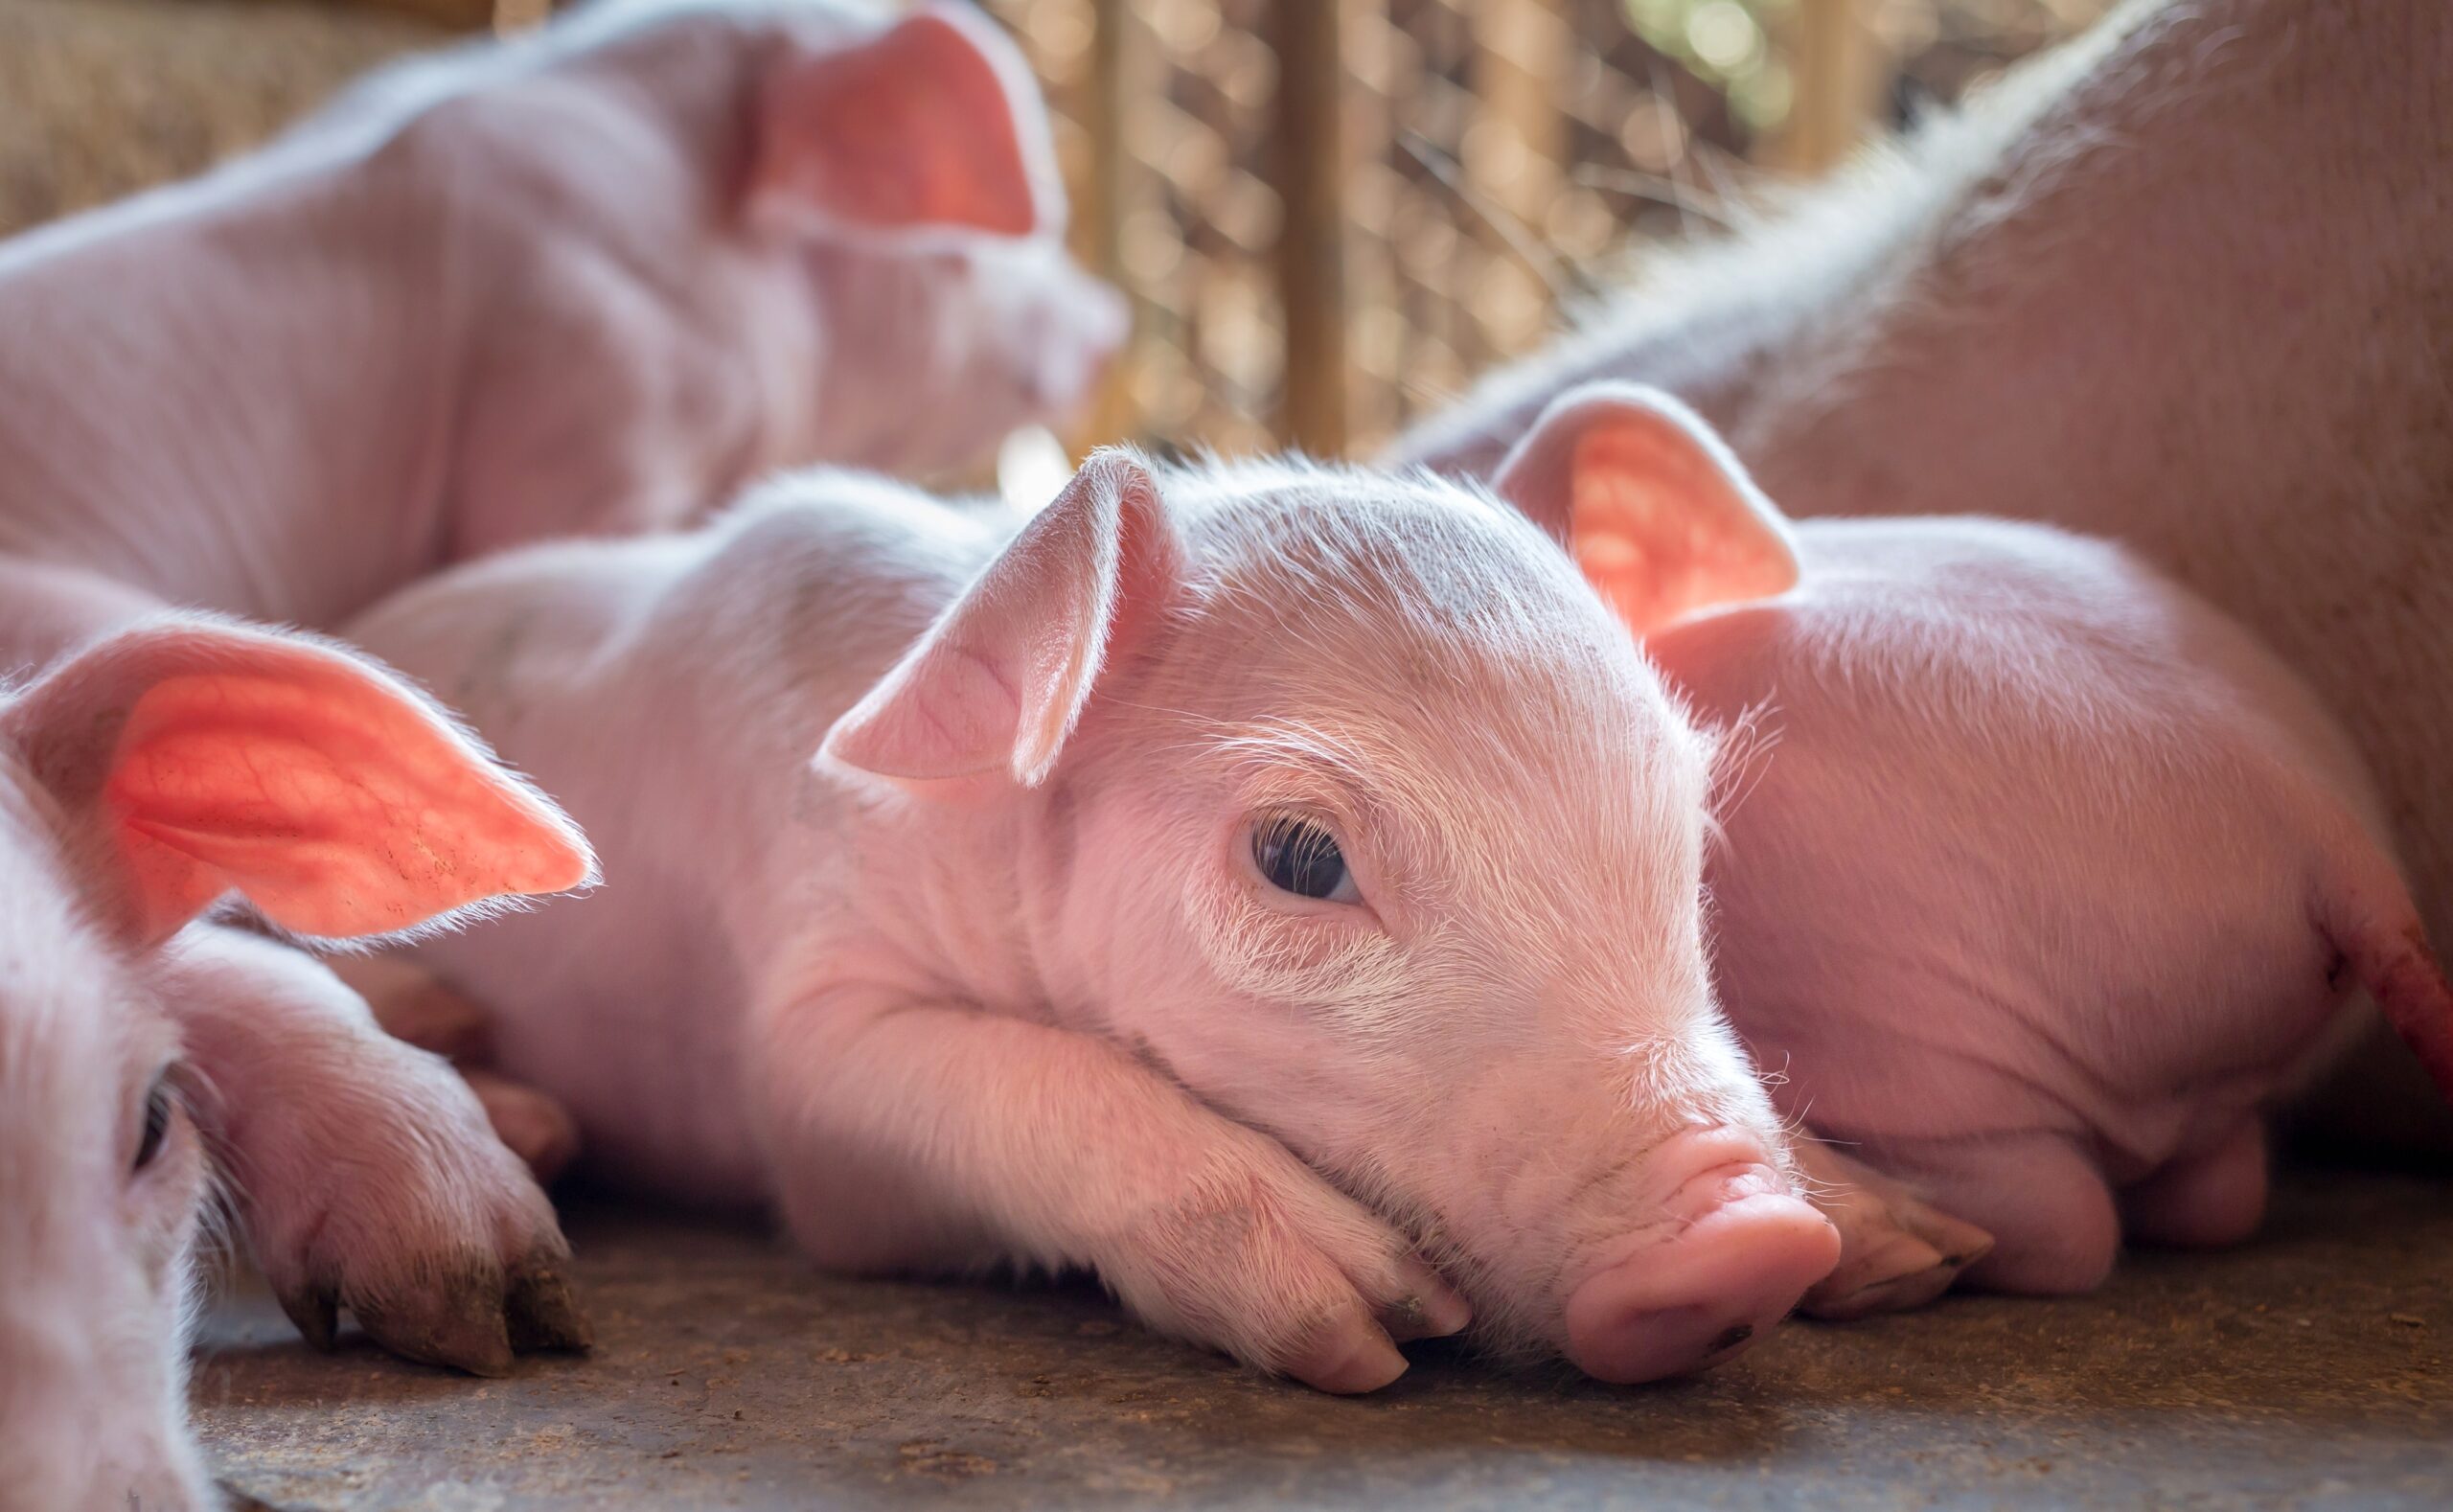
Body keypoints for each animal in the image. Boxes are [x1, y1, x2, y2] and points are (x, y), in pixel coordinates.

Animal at [329, 446, 1965, 1391]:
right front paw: (1375, 1325)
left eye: (1683, 825)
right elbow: (931, 1091)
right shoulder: (797, 1046)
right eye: (1300, 856)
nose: (1749, 1245)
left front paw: (1919, 1250)